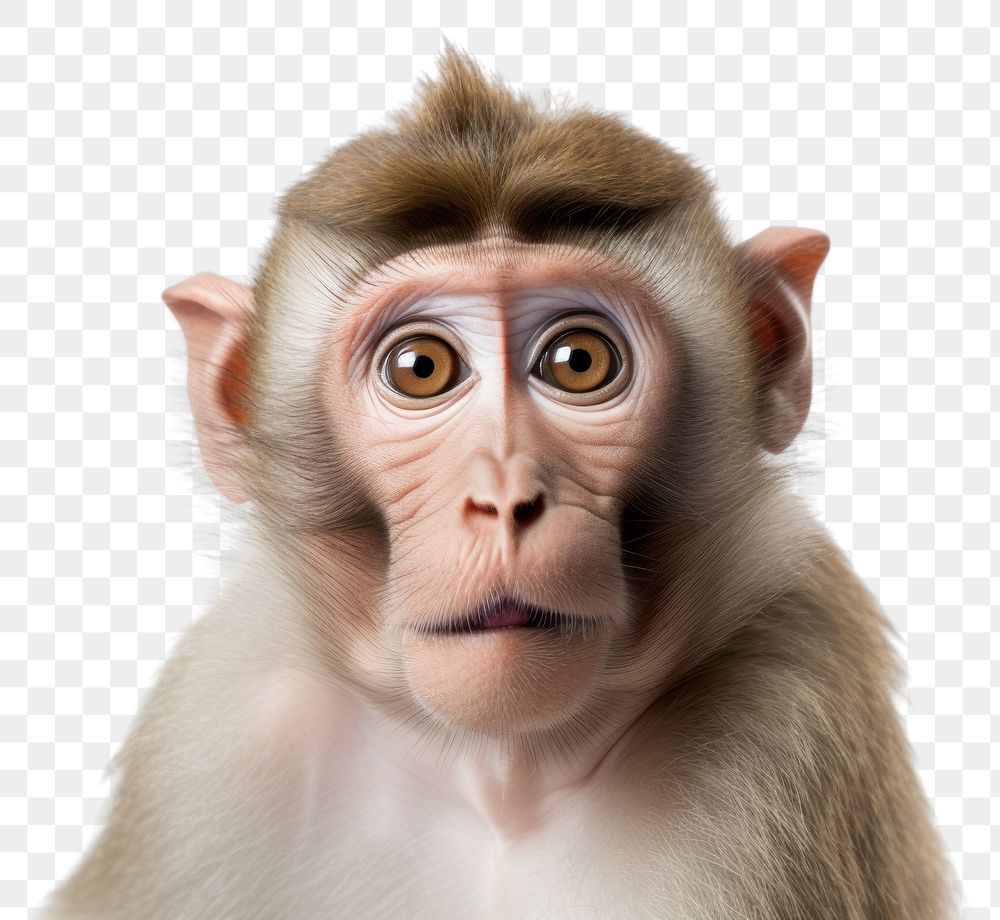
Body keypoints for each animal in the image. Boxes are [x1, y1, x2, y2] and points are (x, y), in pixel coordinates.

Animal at [43, 47, 955, 920]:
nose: (506, 501)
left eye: (578, 361)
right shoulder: (214, 735)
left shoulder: (783, 722)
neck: (503, 778)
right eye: (421, 368)